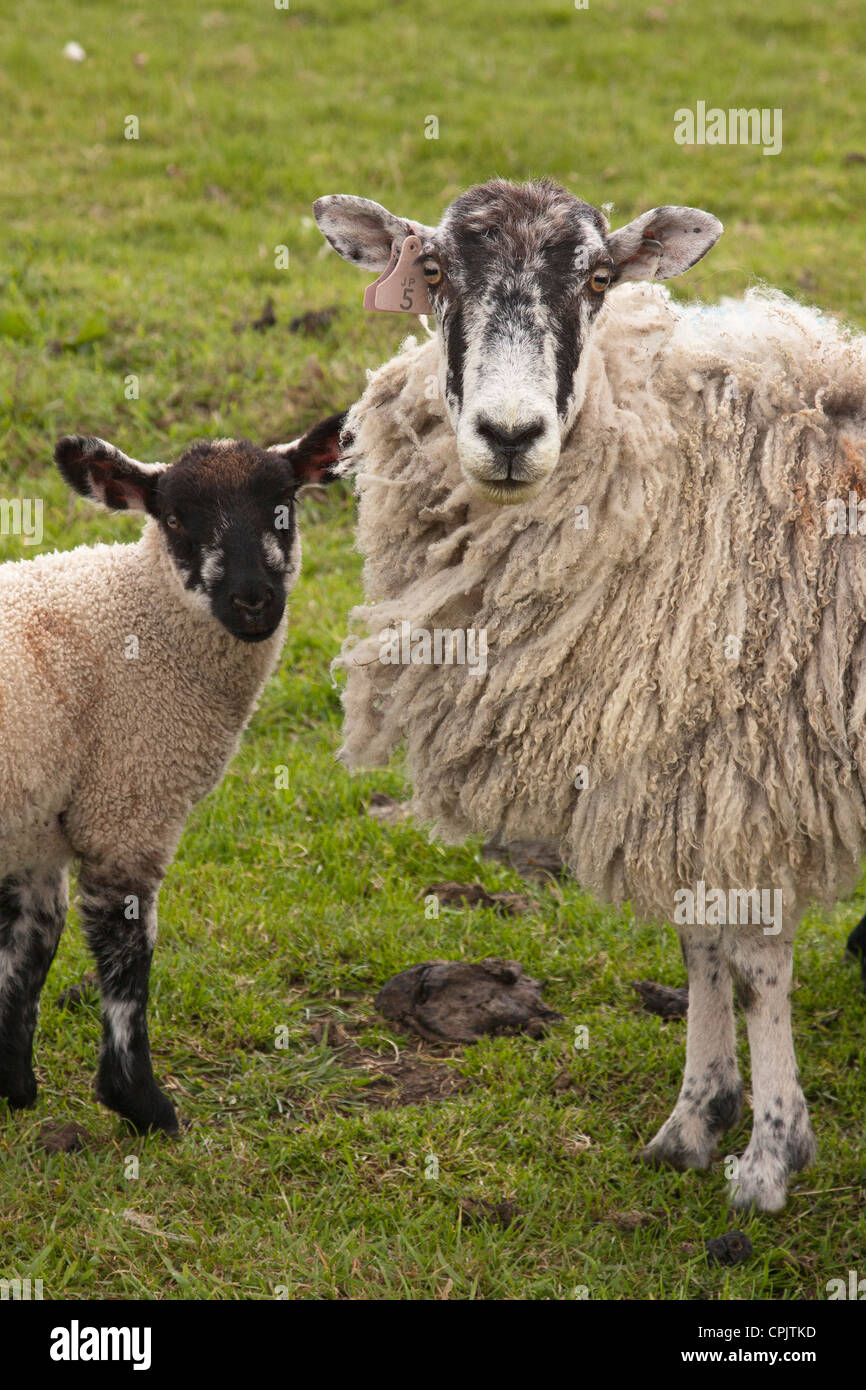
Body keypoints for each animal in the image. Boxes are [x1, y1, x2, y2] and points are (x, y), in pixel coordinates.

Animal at [0, 414, 345, 1133]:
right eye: (178, 518)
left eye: (285, 505)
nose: (253, 600)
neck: (136, 616)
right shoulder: (129, 806)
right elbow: (127, 963)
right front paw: (141, 1103)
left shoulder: (39, 823)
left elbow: (29, 947)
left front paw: (14, 1085)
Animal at [315, 177, 866, 1211]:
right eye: (434, 271)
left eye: (601, 277)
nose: (509, 436)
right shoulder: (678, 766)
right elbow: (700, 943)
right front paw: (696, 1120)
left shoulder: (750, 769)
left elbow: (755, 961)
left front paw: (771, 1155)